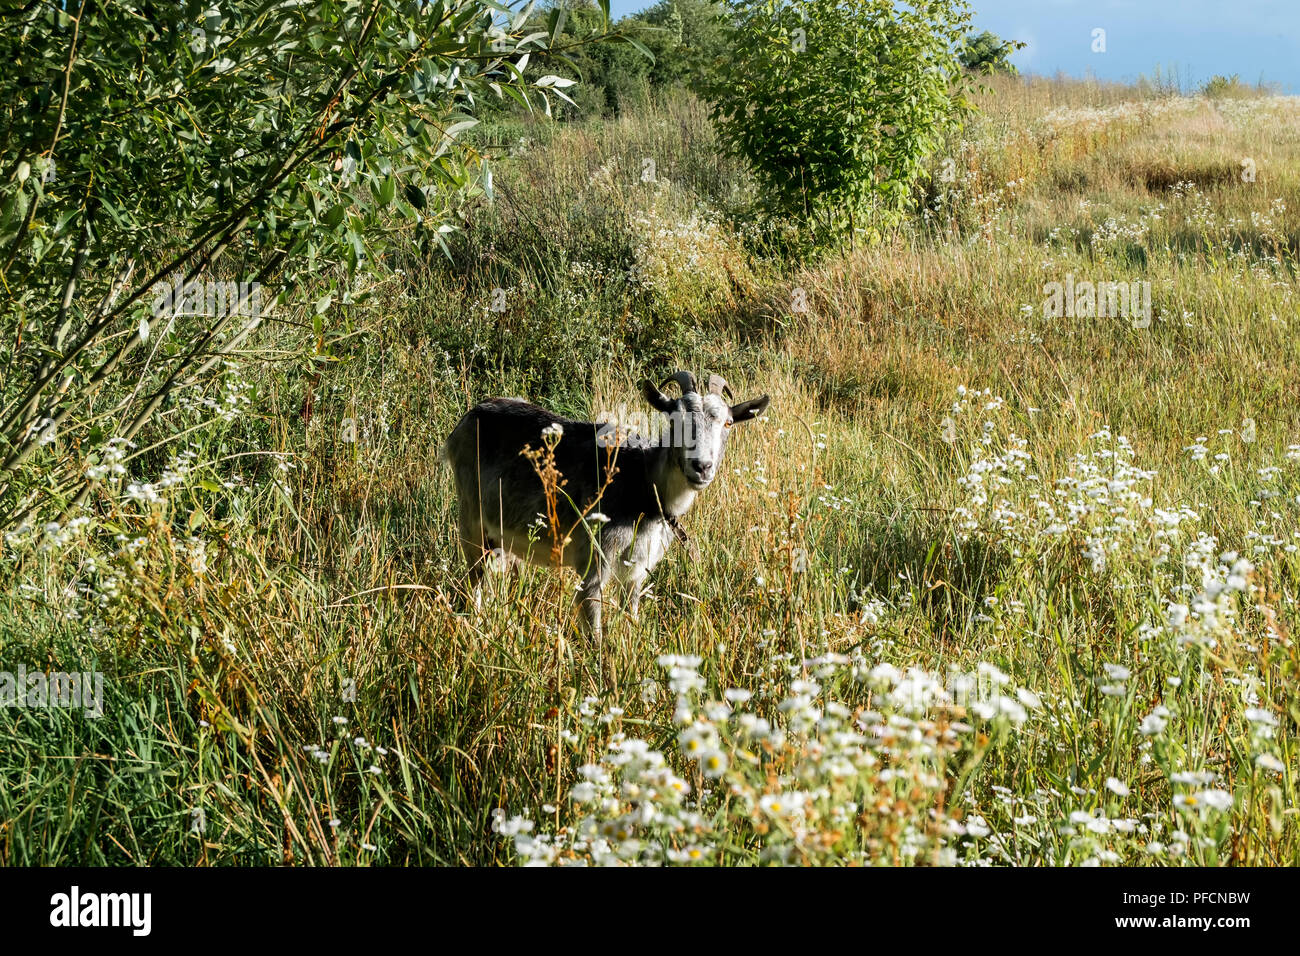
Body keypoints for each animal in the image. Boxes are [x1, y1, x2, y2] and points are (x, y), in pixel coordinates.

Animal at [444, 371, 770, 636]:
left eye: (728, 422)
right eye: (673, 418)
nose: (701, 466)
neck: (641, 480)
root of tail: (466, 420)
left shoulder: (637, 569)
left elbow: (631, 616)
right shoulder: (593, 561)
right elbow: (595, 632)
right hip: (471, 522)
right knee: (472, 583)